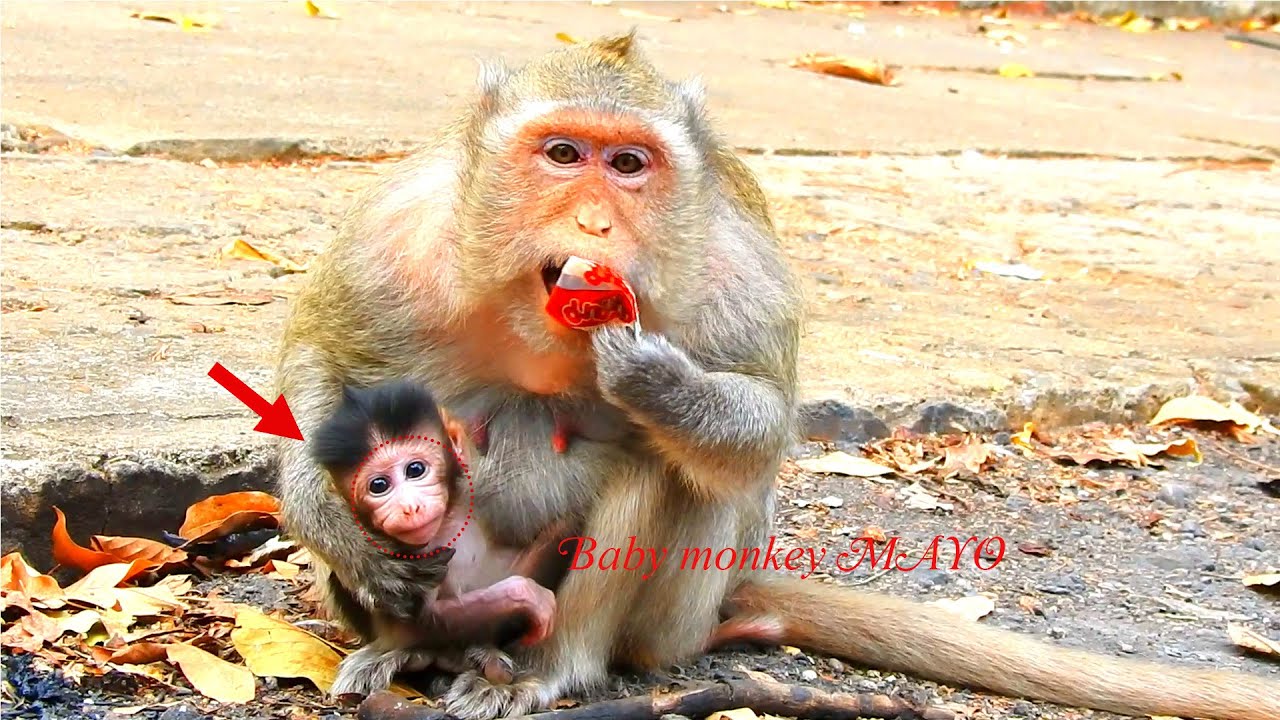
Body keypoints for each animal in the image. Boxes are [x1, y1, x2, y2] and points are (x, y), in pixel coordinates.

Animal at [308, 380, 572, 698]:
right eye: (379, 485)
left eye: (415, 469)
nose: (409, 507)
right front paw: (527, 595)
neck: (447, 520)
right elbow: (423, 621)